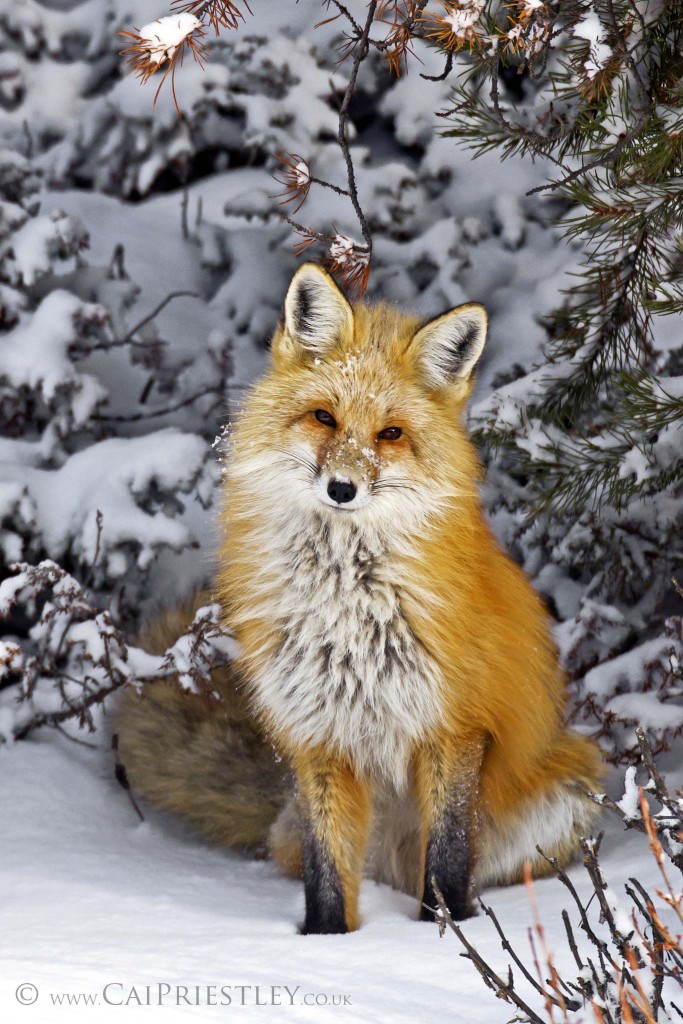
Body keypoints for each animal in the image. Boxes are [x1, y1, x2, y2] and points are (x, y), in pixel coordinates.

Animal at [116, 262, 602, 935]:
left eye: (390, 434)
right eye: (324, 417)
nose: (342, 488)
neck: (347, 602)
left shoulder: (453, 727)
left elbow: (447, 861)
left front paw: (443, 937)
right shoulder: (318, 735)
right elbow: (327, 875)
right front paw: (331, 947)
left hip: (568, 799)